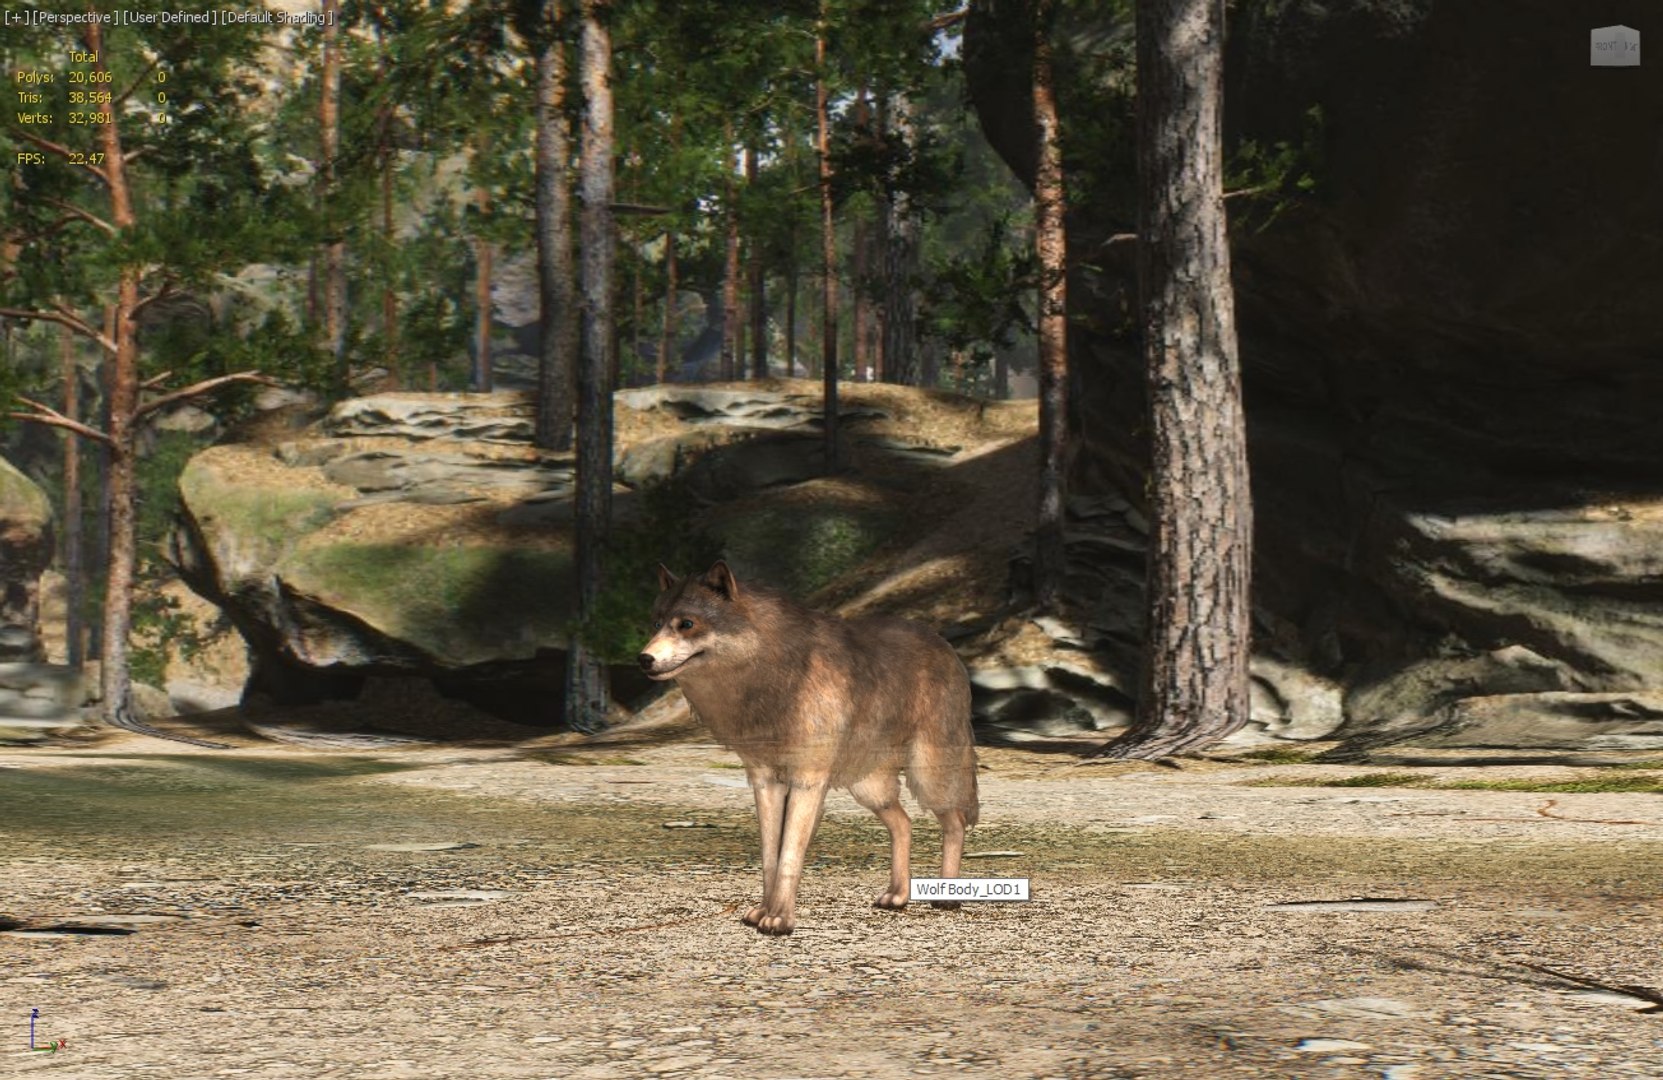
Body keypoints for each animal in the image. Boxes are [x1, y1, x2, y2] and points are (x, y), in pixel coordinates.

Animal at [639, 561, 980, 936]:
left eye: (686, 624)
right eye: (656, 623)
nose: (644, 659)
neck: (771, 675)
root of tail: (942, 642)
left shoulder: (807, 781)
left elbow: (789, 854)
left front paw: (780, 920)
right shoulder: (764, 781)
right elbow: (770, 857)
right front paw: (763, 912)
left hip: (927, 775)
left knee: (956, 822)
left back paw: (947, 897)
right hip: (870, 789)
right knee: (904, 824)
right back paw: (897, 896)